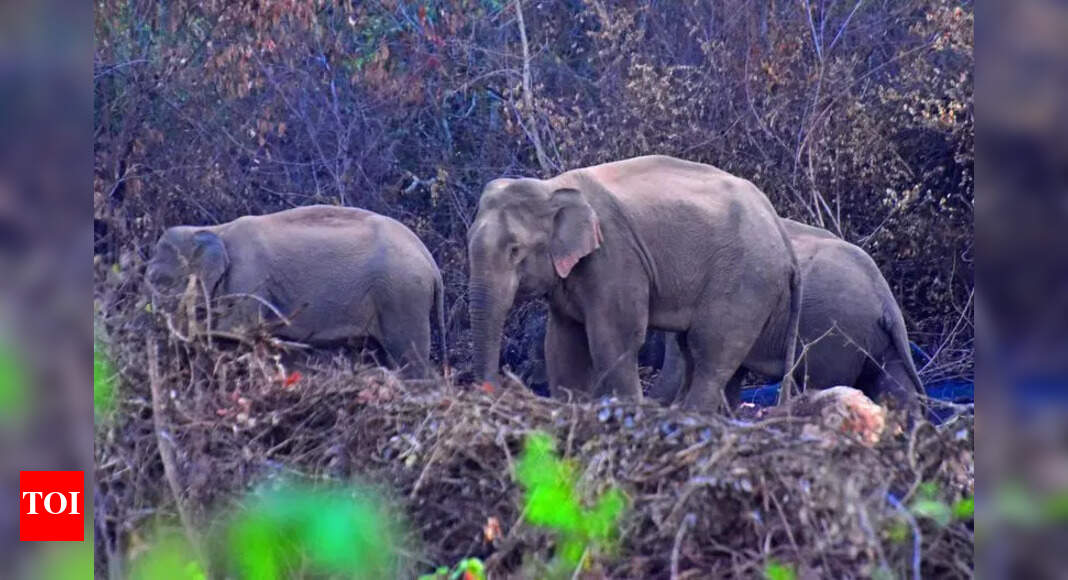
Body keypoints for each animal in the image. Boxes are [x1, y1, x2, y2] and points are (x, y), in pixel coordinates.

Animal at [146, 205, 446, 377]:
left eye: (158, 279)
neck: (215, 229)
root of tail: (429, 259)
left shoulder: (249, 278)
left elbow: (235, 333)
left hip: (402, 294)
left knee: (410, 360)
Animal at [467, 155, 801, 410]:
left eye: (515, 250)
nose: (491, 392)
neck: (553, 187)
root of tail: (779, 228)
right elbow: (563, 344)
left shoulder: (615, 256)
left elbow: (614, 337)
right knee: (696, 353)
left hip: (746, 279)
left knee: (712, 353)